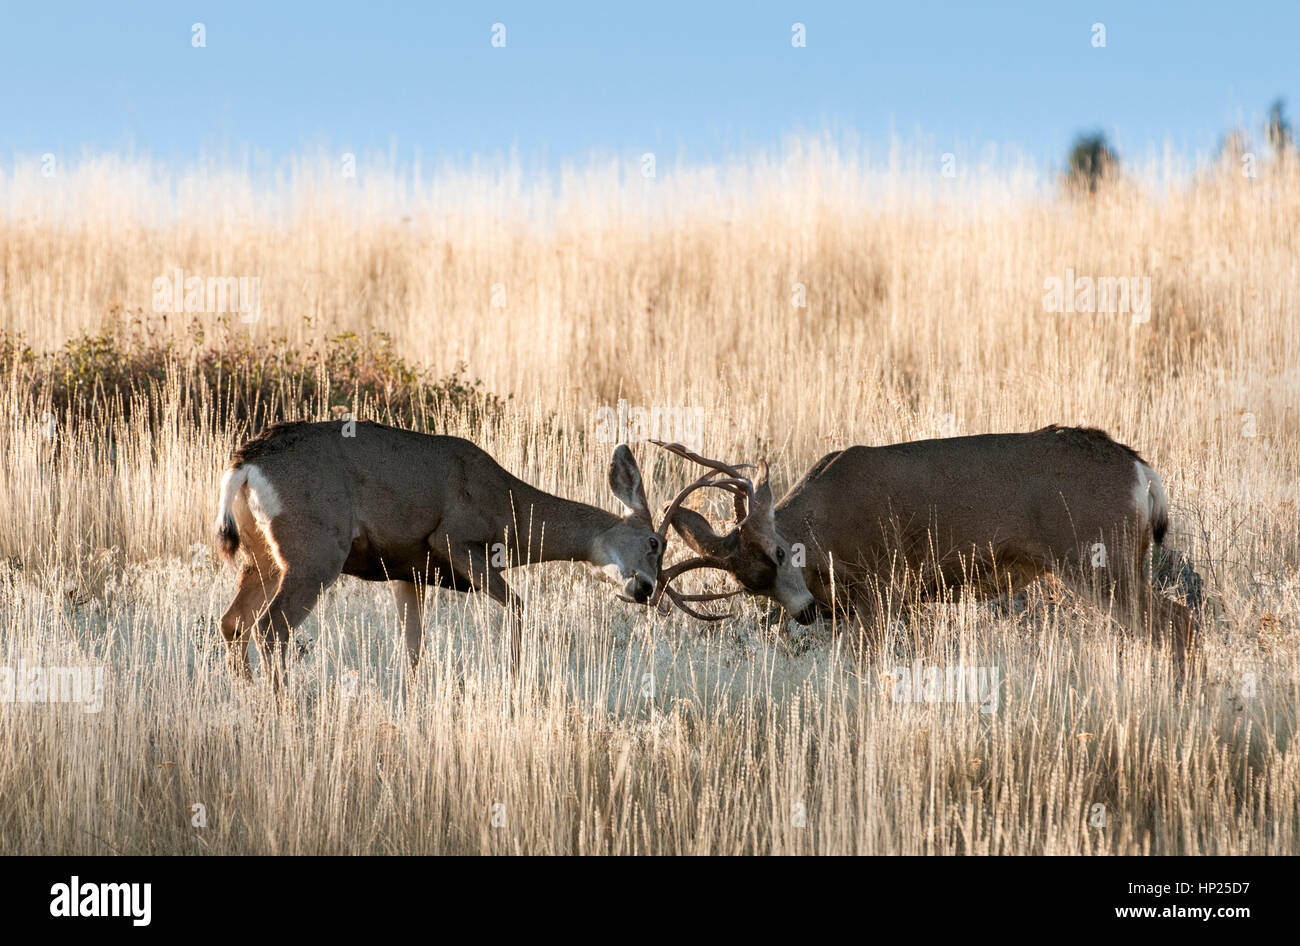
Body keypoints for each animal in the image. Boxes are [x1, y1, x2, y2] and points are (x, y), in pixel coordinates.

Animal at [213, 420, 727, 684]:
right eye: (655, 543)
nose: (646, 590)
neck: (506, 505)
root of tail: (245, 466)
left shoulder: (406, 571)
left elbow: (413, 649)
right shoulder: (456, 540)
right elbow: (520, 607)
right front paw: (516, 677)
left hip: (261, 559)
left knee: (232, 623)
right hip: (316, 549)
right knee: (270, 630)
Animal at [651, 427, 1195, 661]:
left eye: (782, 553)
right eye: (752, 586)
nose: (805, 612)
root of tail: (1141, 471)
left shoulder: (886, 587)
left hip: (1098, 559)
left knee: (1175, 622)